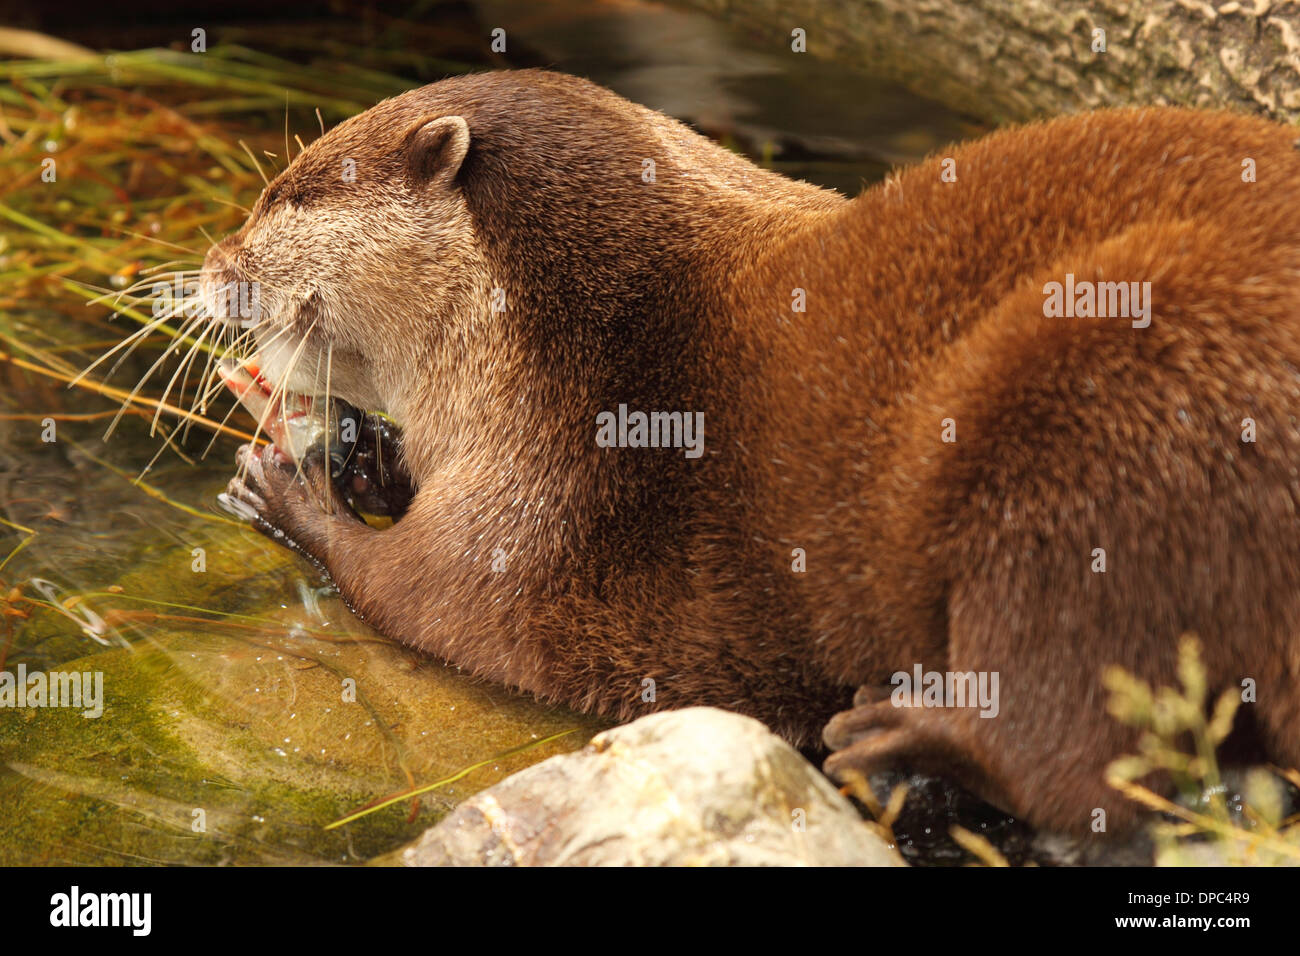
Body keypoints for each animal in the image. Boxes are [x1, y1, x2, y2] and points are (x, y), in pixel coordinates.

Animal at [203, 69, 1300, 835]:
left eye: (281, 195)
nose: (212, 265)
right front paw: (359, 456)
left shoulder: (556, 497)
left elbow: (426, 600)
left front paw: (291, 495)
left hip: (1086, 408)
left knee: (1080, 757)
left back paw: (889, 727)